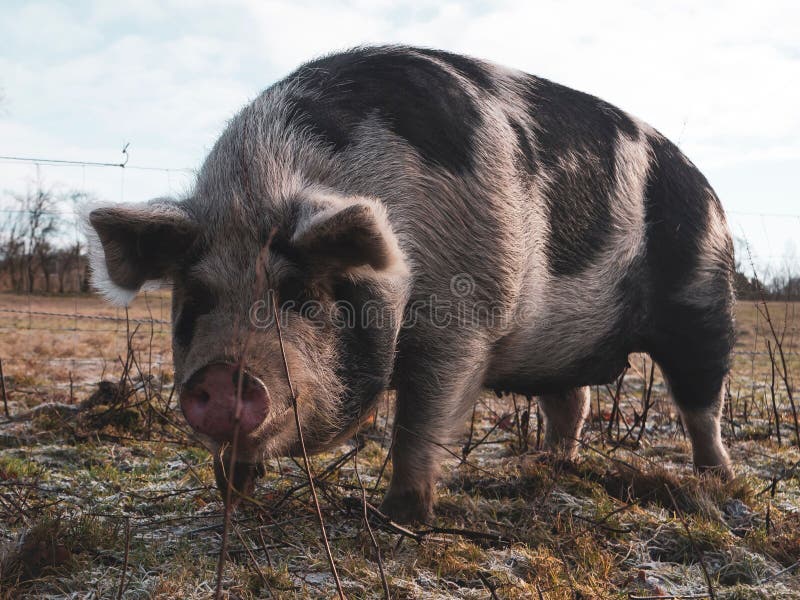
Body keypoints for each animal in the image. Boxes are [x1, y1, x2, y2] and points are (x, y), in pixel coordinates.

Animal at [87, 45, 735, 523]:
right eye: (194, 303)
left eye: (303, 299)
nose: (224, 375)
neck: (262, 189)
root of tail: (707, 186)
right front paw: (232, 496)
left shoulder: (465, 324)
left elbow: (420, 423)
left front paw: (401, 518)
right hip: (561, 347)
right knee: (572, 402)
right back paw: (549, 469)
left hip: (704, 297)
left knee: (702, 401)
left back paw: (718, 483)